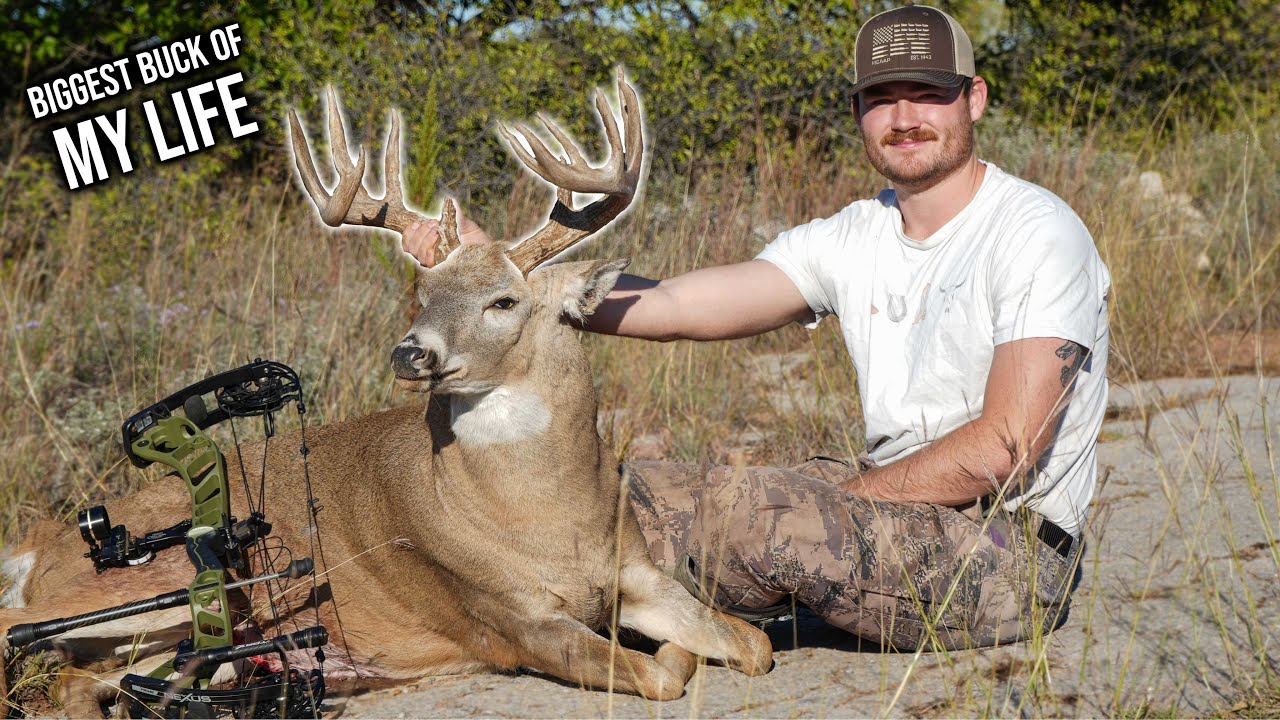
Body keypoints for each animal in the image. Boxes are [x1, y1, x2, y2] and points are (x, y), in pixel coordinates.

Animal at [0, 70, 772, 717]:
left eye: (502, 301)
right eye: (423, 294)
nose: (411, 351)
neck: (552, 519)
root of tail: (37, 546)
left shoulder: (637, 572)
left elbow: (751, 645)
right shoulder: (507, 615)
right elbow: (659, 673)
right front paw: (666, 654)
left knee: (87, 677)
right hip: (135, 589)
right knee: (44, 658)